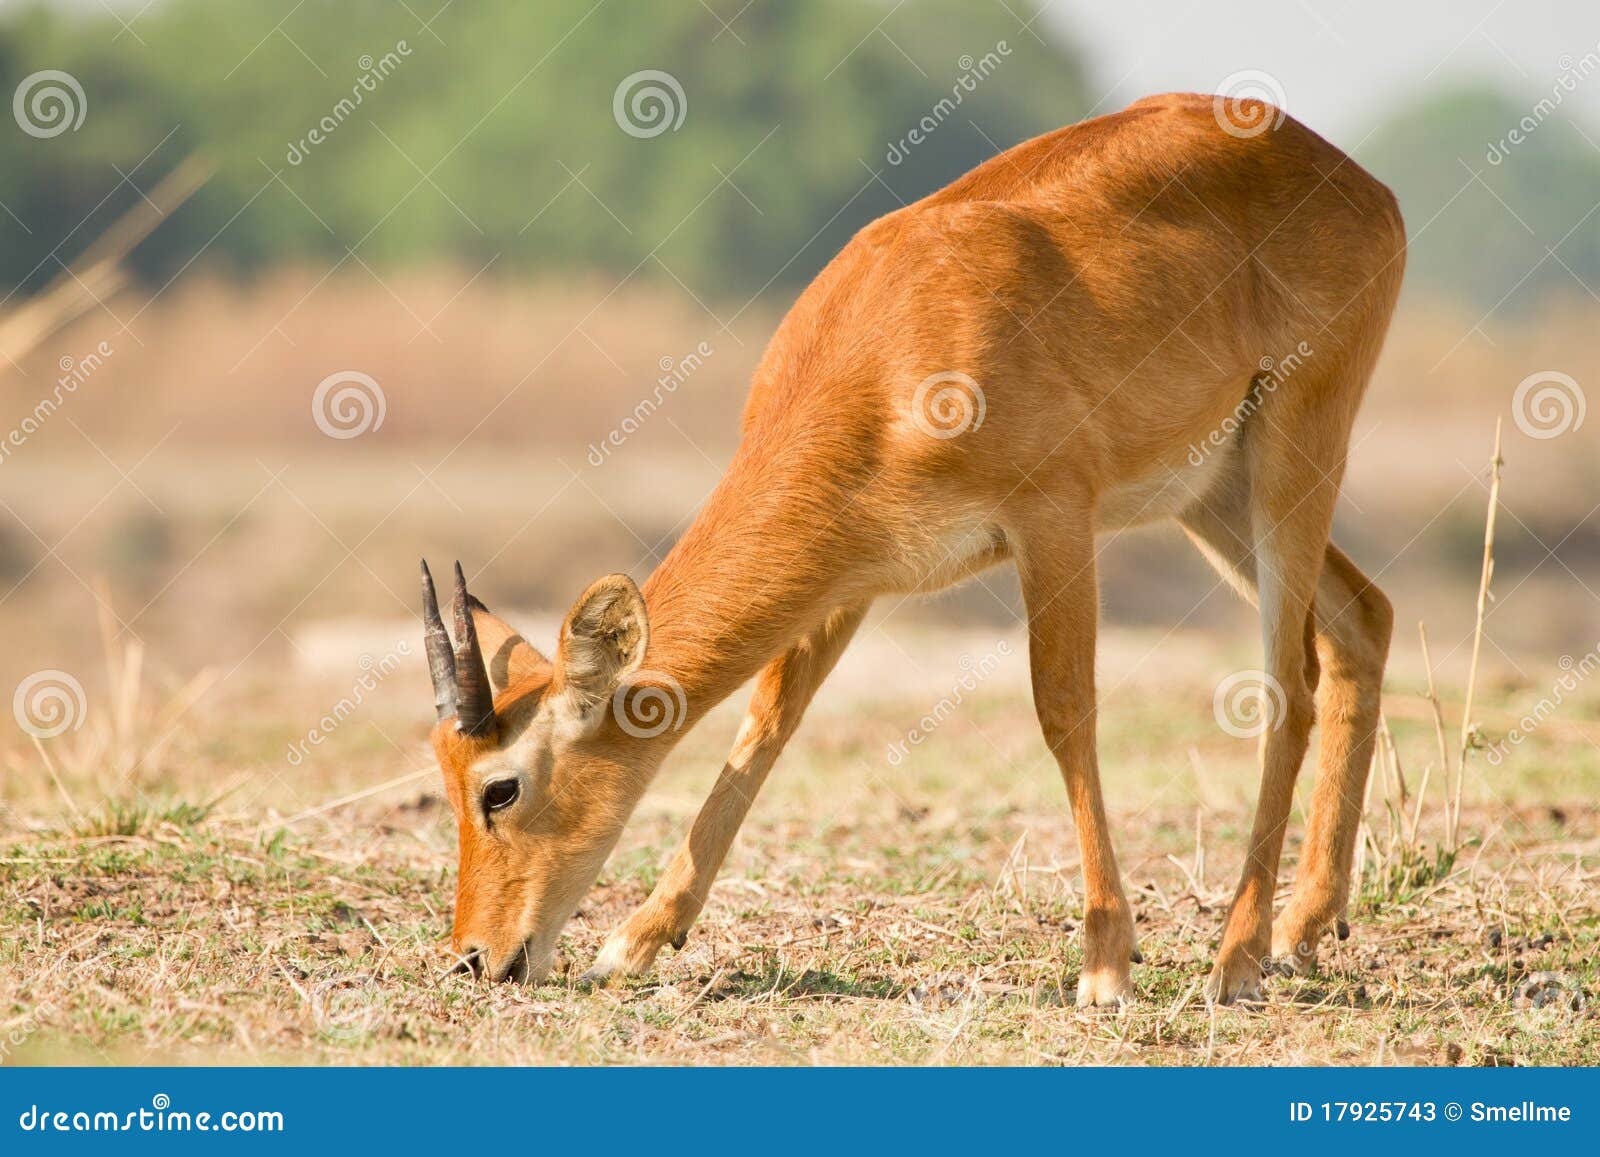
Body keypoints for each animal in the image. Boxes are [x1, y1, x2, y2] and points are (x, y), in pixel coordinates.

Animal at [421, 92, 1405, 1007]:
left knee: (1287, 686)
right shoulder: (849, 572)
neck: (883, 355)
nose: (475, 956)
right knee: (1360, 620)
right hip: (1214, 498)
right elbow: (766, 724)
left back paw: (1237, 959)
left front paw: (1105, 963)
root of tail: (1366, 182)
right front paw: (638, 937)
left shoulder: (1053, 515)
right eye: (446, 771)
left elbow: (1064, 712)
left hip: (1293, 450)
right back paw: (1303, 928)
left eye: (500, 788)